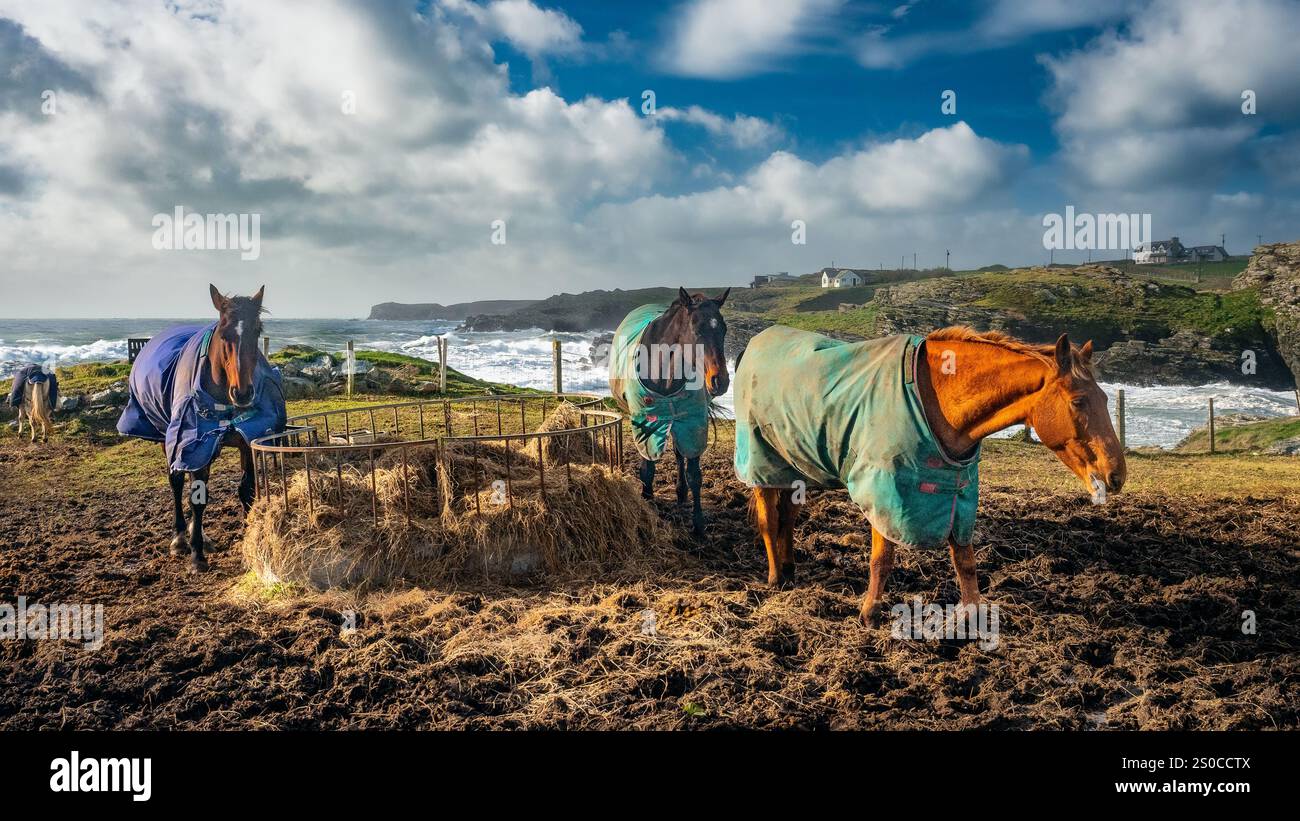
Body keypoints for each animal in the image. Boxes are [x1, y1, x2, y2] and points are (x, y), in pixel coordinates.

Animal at [117, 285, 286, 573]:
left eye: (257, 330)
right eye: (223, 332)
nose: (243, 393)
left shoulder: (245, 441)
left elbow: (247, 490)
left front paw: (248, 537)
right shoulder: (194, 444)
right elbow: (198, 498)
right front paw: (196, 555)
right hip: (169, 440)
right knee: (176, 483)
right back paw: (180, 538)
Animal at [609, 287, 730, 536]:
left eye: (723, 329)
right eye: (697, 330)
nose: (720, 381)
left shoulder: (693, 423)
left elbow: (695, 474)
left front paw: (698, 525)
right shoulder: (645, 423)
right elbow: (647, 468)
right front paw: (647, 502)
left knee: (678, 453)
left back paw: (681, 493)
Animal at [734, 325, 1125, 625]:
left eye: (1107, 399)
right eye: (1078, 401)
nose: (1116, 475)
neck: (936, 400)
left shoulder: (958, 495)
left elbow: (965, 562)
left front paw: (972, 615)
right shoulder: (885, 493)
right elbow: (882, 560)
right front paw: (869, 613)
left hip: (792, 468)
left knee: (787, 518)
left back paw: (789, 569)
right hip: (761, 463)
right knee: (770, 521)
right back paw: (775, 578)